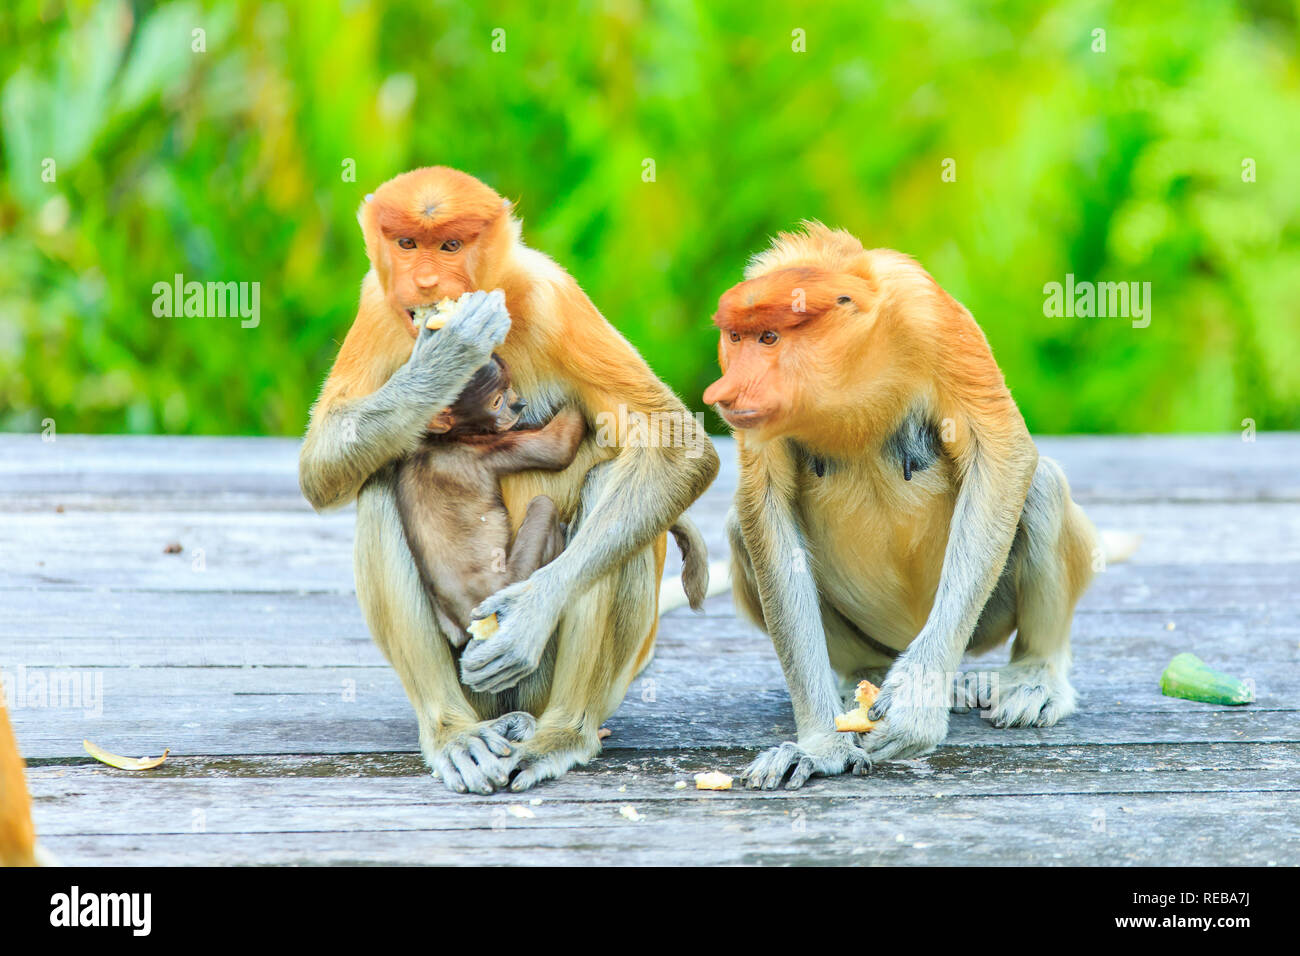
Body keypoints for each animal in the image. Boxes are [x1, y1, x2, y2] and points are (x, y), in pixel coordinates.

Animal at [394, 353, 587, 647]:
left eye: (509, 386)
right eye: (497, 401)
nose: (519, 403)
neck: (441, 439)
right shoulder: (484, 448)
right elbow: (559, 446)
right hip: (512, 581)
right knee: (543, 505)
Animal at [703, 223, 1099, 789]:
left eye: (770, 338)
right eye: (735, 339)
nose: (725, 390)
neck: (851, 371)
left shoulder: (927, 313)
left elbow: (1002, 454)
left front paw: (915, 705)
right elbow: (765, 510)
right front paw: (820, 746)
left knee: (1040, 484)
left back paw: (1032, 679)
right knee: (742, 530)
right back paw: (860, 679)